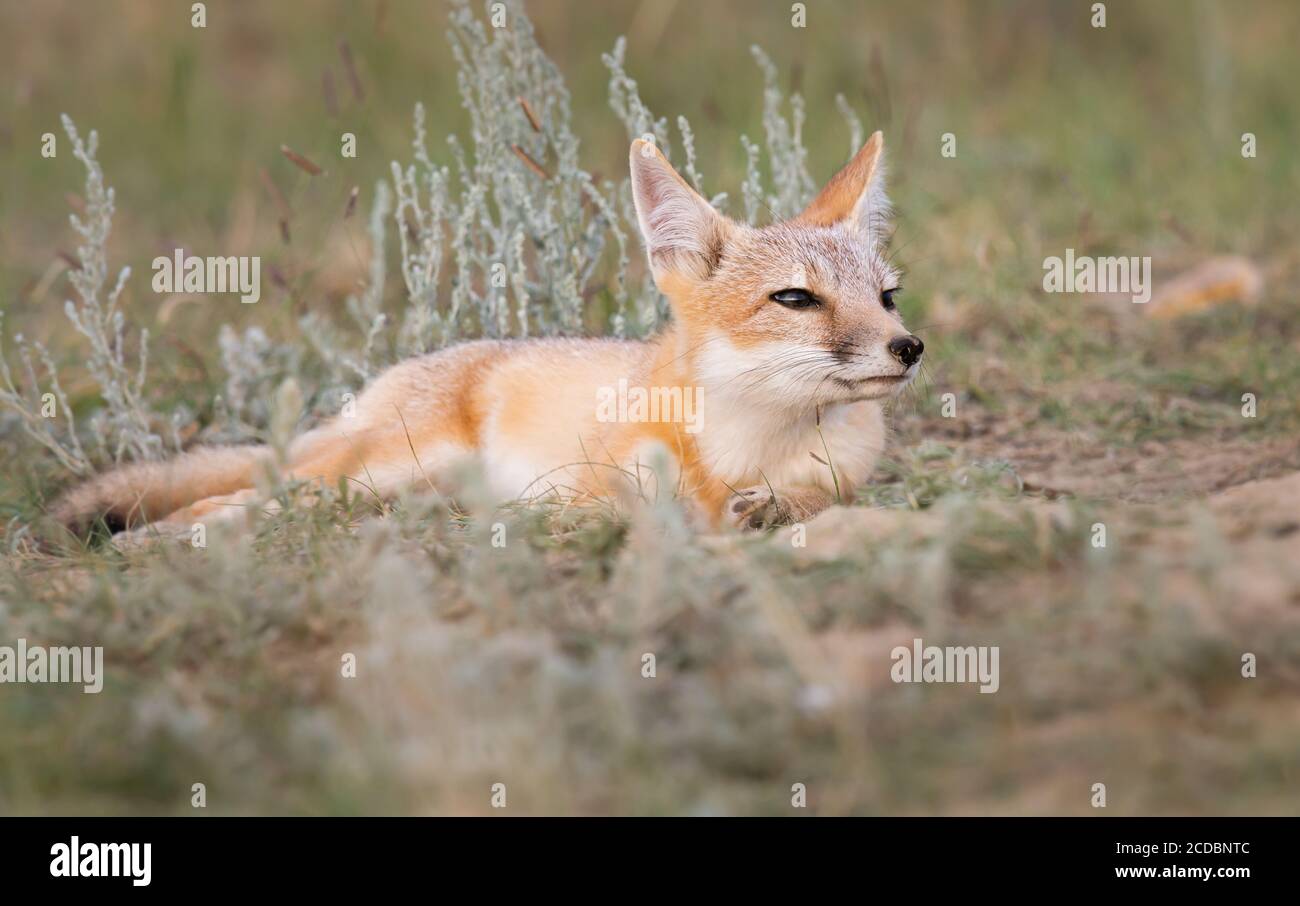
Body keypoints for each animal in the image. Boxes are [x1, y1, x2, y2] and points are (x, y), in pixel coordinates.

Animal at [51, 130, 922, 538]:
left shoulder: (843, 472)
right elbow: (626, 507)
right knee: (237, 496)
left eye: (887, 298)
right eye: (796, 299)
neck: (748, 447)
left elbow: (821, 495)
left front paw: (776, 505)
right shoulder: (588, 484)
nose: (908, 347)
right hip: (378, 466)